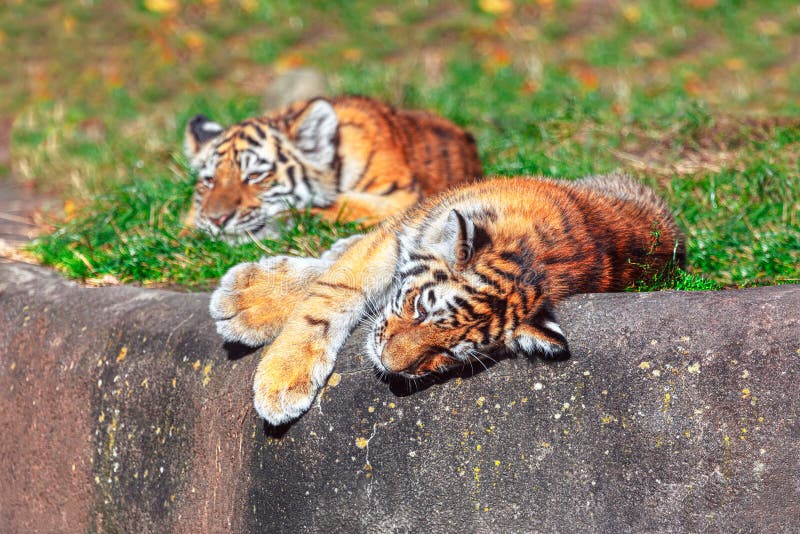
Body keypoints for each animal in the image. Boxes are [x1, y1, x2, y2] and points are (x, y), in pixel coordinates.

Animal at [208, 174, 685, 424]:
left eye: (451, 354)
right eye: (421, 308)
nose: (389, 365)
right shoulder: (399, 235)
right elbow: (332, 294)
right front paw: (281, 381)